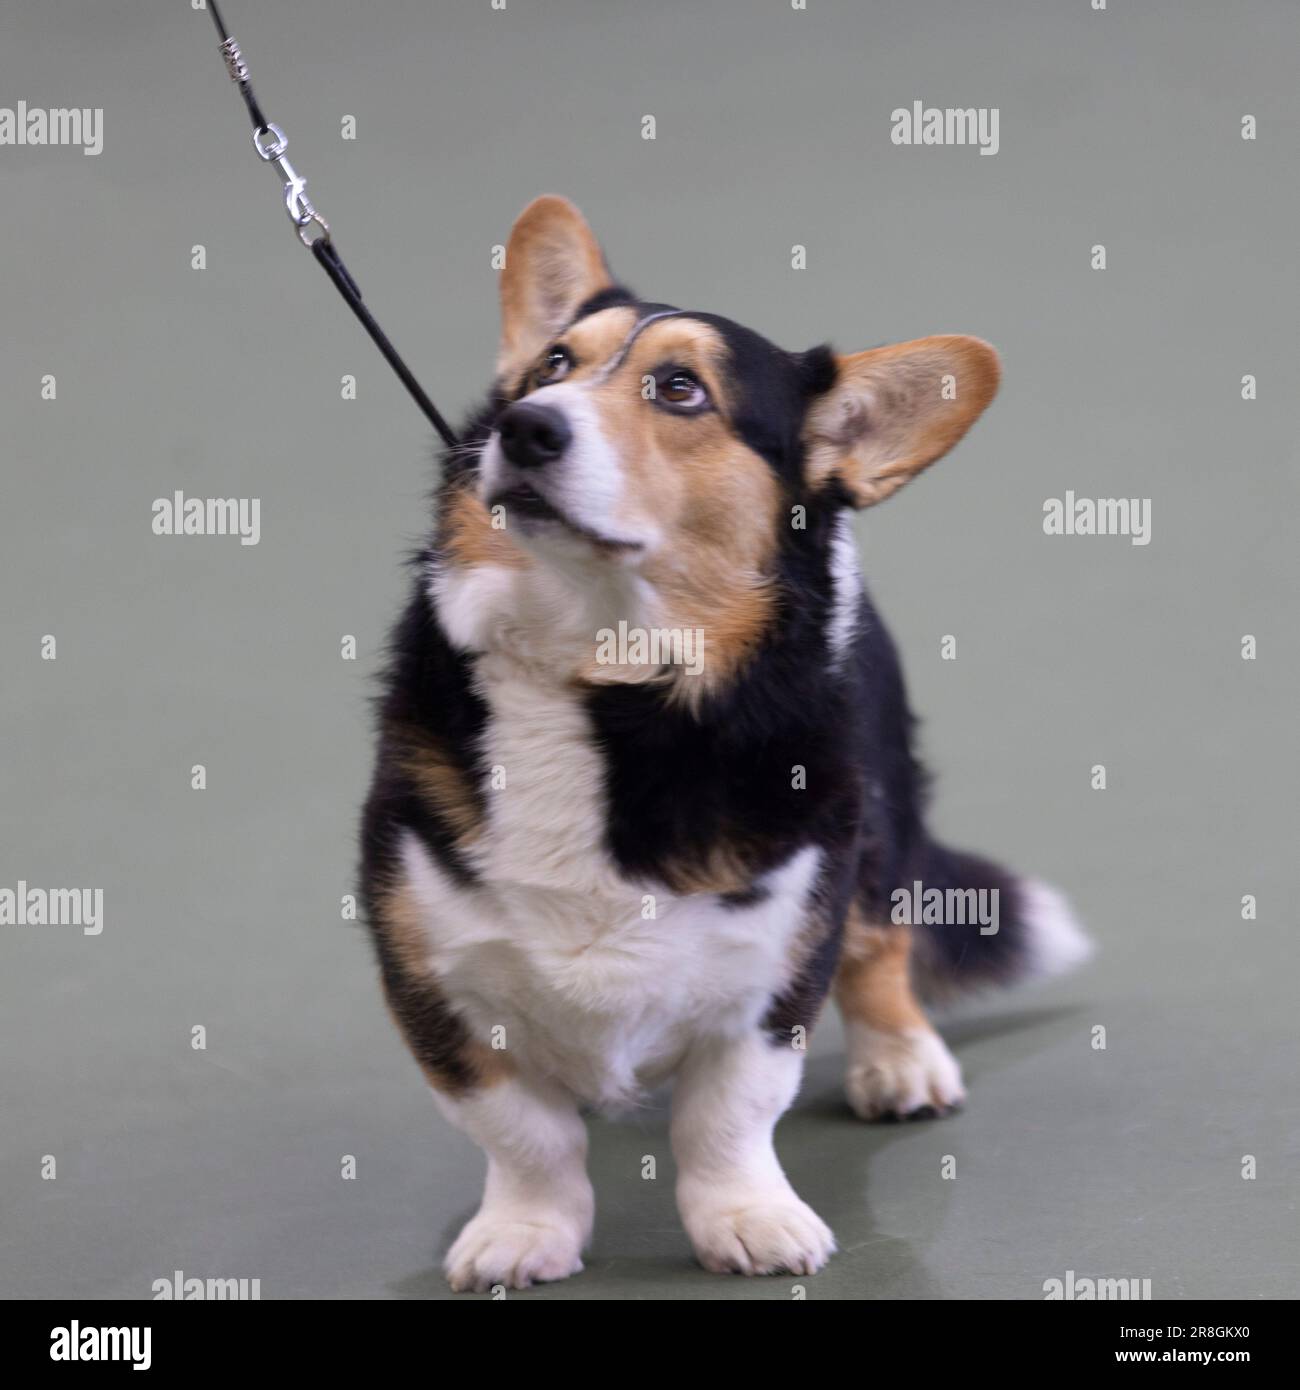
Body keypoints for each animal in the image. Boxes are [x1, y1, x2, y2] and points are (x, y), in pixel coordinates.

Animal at [358, 193, 1090, 1289]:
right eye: (553, 366)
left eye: (679, 389)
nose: (527, 426)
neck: (602, 680)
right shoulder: (431, 975)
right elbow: (522, 1129)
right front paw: (523, 1231)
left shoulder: (777, 960)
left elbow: (728, 1115)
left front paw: (749, 1219)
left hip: (874, 818)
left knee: (884, 939)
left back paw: (900, 1060)